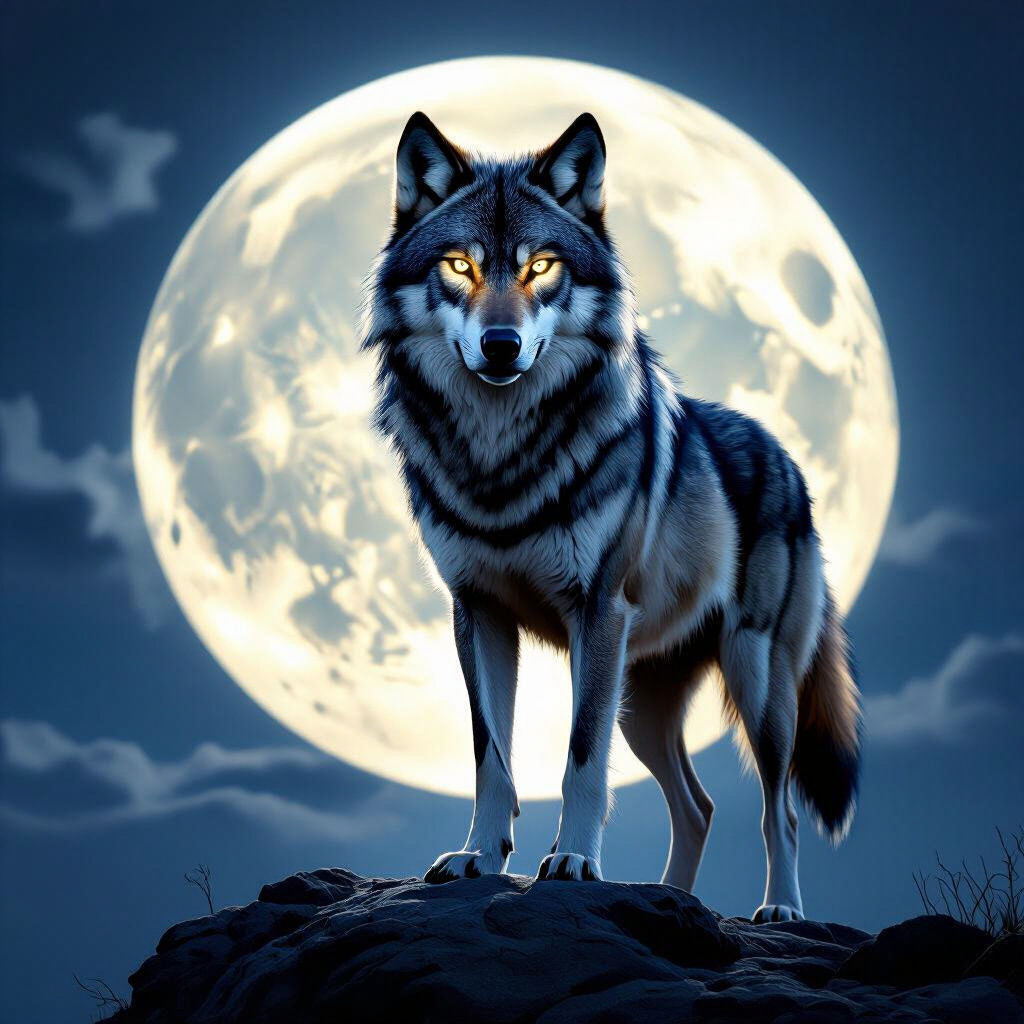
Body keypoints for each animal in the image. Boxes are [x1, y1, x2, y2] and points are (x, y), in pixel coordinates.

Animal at [360, 110, 862, 922]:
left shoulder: (596, 613)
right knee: (698, 807)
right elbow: (492, 757)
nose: (500, 345)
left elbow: (579, 760)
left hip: (754, 681)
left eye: (541, 268)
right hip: (642, 700)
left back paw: (781, 910)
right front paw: (479, 858)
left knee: (777, 810)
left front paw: (572, 862)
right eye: (461, 266)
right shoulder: (478, 613)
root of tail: (789, 462)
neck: (500, 460)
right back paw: (668, 901)